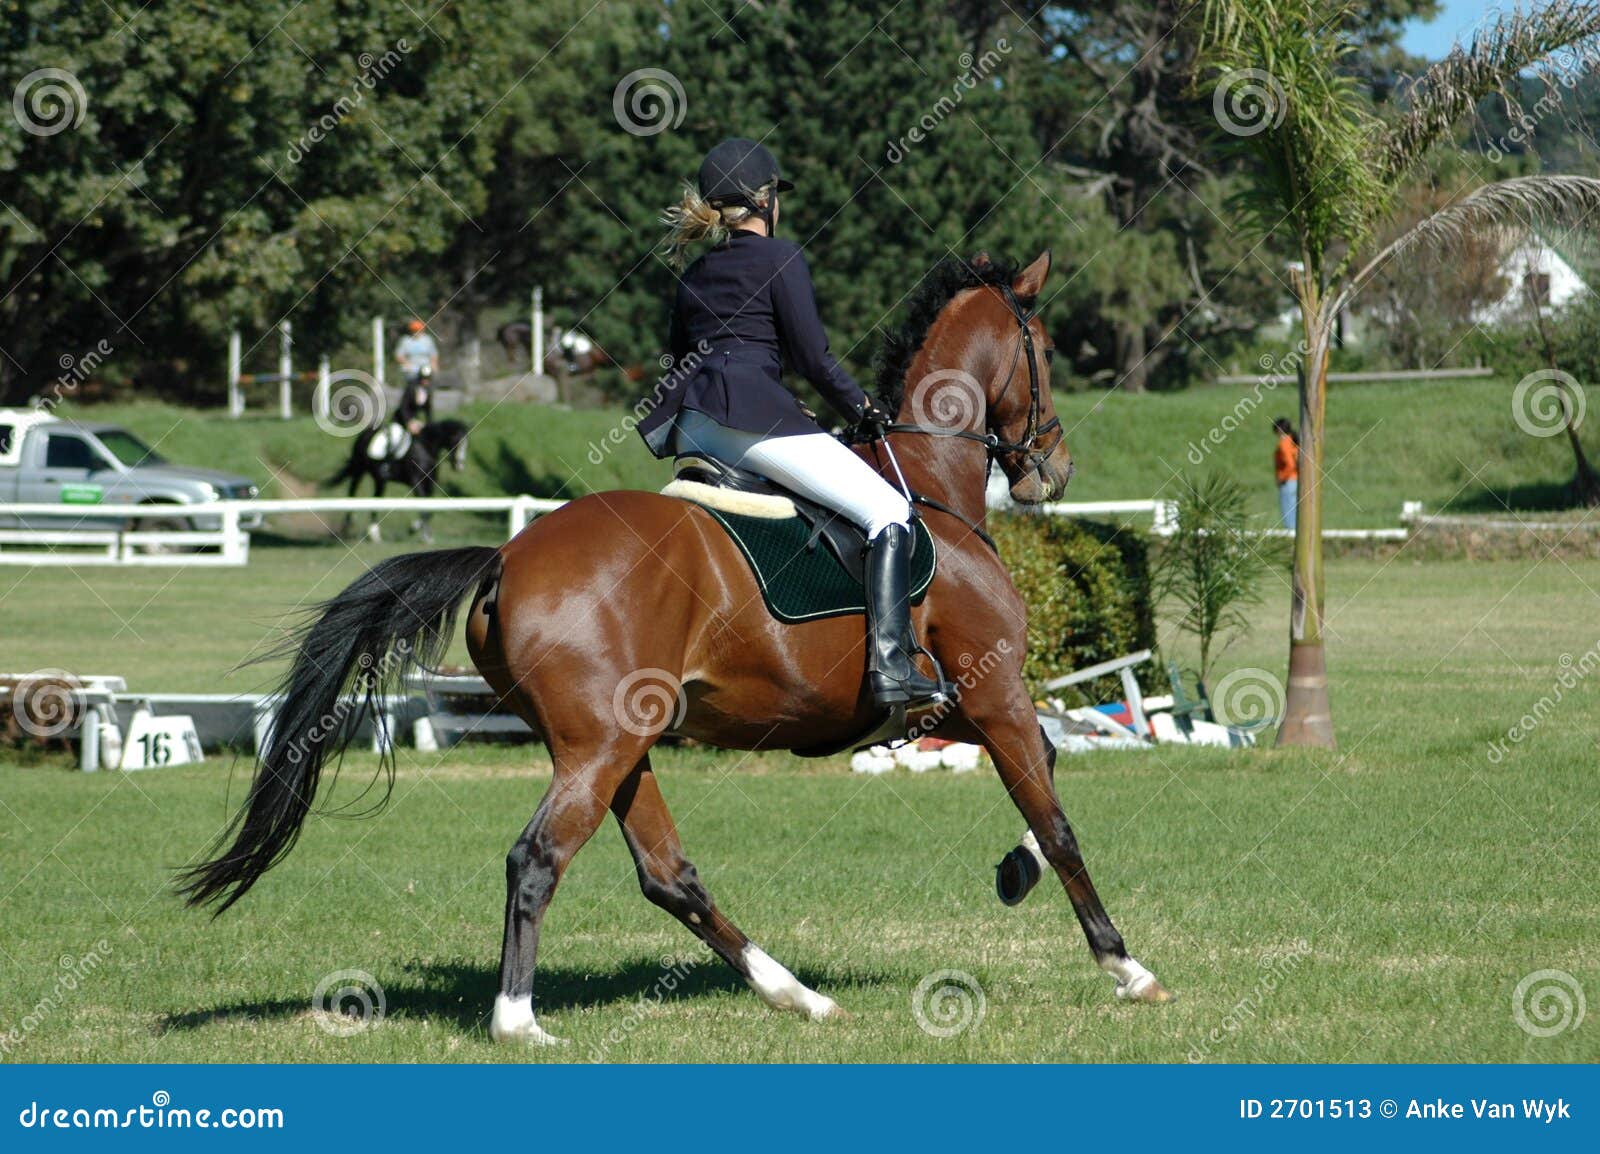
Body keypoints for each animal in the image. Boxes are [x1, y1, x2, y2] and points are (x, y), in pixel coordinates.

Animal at [327, 419, 469, 543]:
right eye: (455, 440)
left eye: (466, 444)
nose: (460, 467)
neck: (425, 447)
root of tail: (364, 435)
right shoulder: (417, 484)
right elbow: (424, 510)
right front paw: (425, 536)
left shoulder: (430, 485)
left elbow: (430, 510)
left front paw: (414, 529)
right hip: (359, 470)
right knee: (352, 492)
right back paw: (347, 526)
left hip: (380, 480)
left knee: (375, 499)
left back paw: (374, 535)